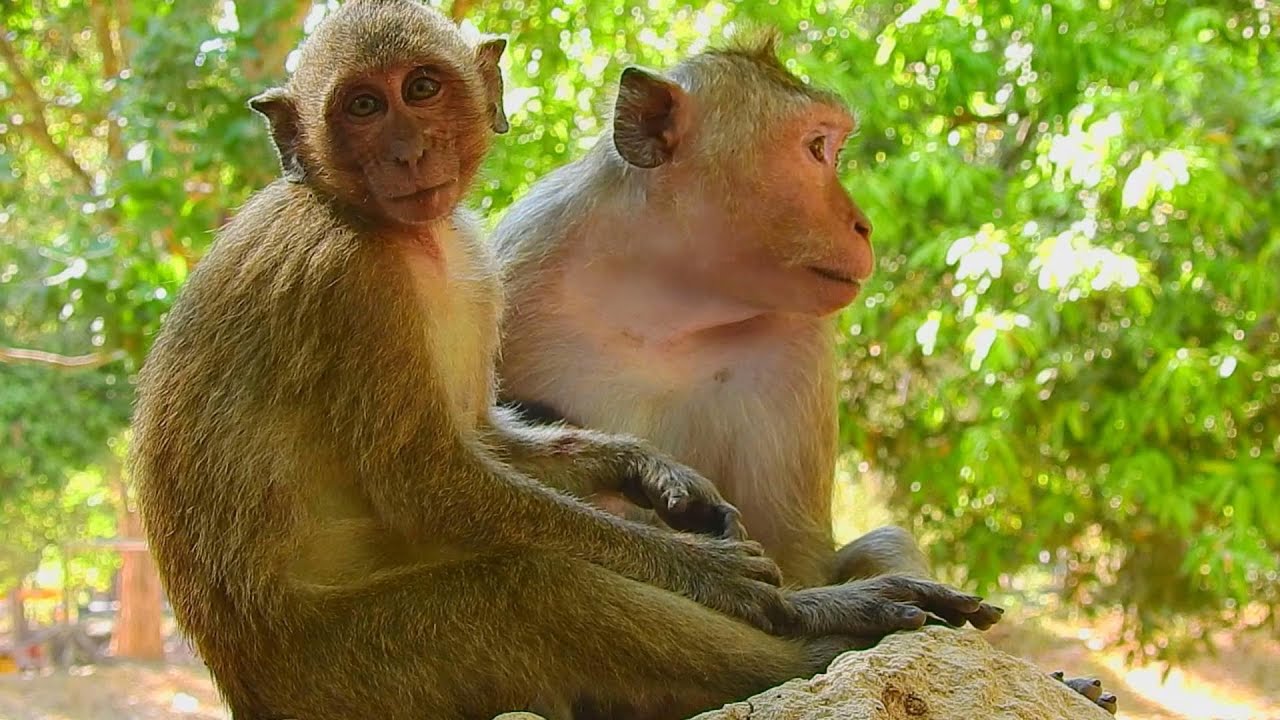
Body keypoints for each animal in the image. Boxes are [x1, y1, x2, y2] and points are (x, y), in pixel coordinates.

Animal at [490, 34, 1116, 714]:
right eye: (817, 149)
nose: (864, 224)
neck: (662, 301)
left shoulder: (798, 343)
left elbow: (790, 553)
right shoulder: (518, 262)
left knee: (883, 542)